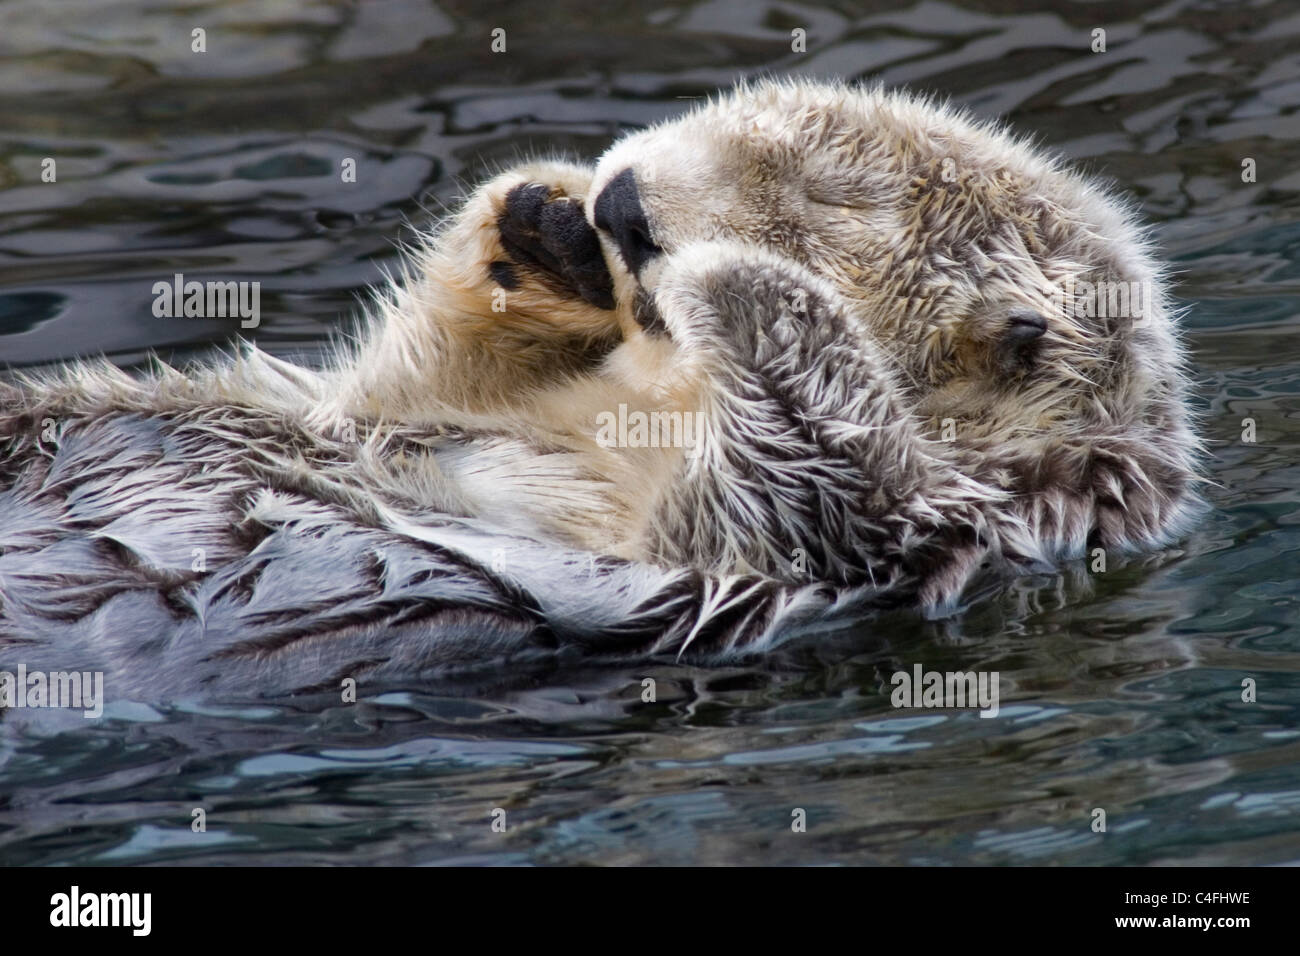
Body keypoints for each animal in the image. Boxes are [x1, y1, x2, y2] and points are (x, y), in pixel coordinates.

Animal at [0, 79, 1200, 700]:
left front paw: (734, 275)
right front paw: (543, 222)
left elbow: (809, 466)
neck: (646, 404)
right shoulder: (419, 409)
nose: (625, 202)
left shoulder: (874, 539)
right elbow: (404, 385)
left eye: (817, 206)